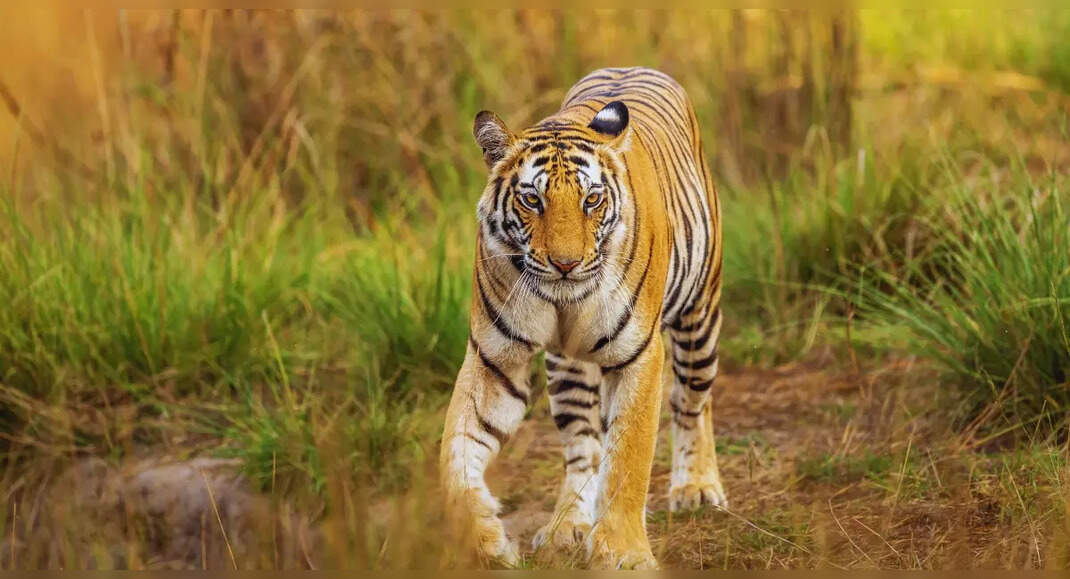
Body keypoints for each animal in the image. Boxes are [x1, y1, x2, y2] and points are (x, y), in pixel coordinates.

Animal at [439, 67, 725, 569]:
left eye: (592, 200)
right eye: (532, 200)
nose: (566, 264)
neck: (564, 300)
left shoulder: (638, 355)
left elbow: (628, 459)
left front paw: (625, 555)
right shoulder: (494, 359)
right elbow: (455, 453)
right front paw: (486, 543)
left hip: (699, 321)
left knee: (692, 402)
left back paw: (696, 487)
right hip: (567, 367)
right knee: (582, 447)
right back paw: (566, 526)